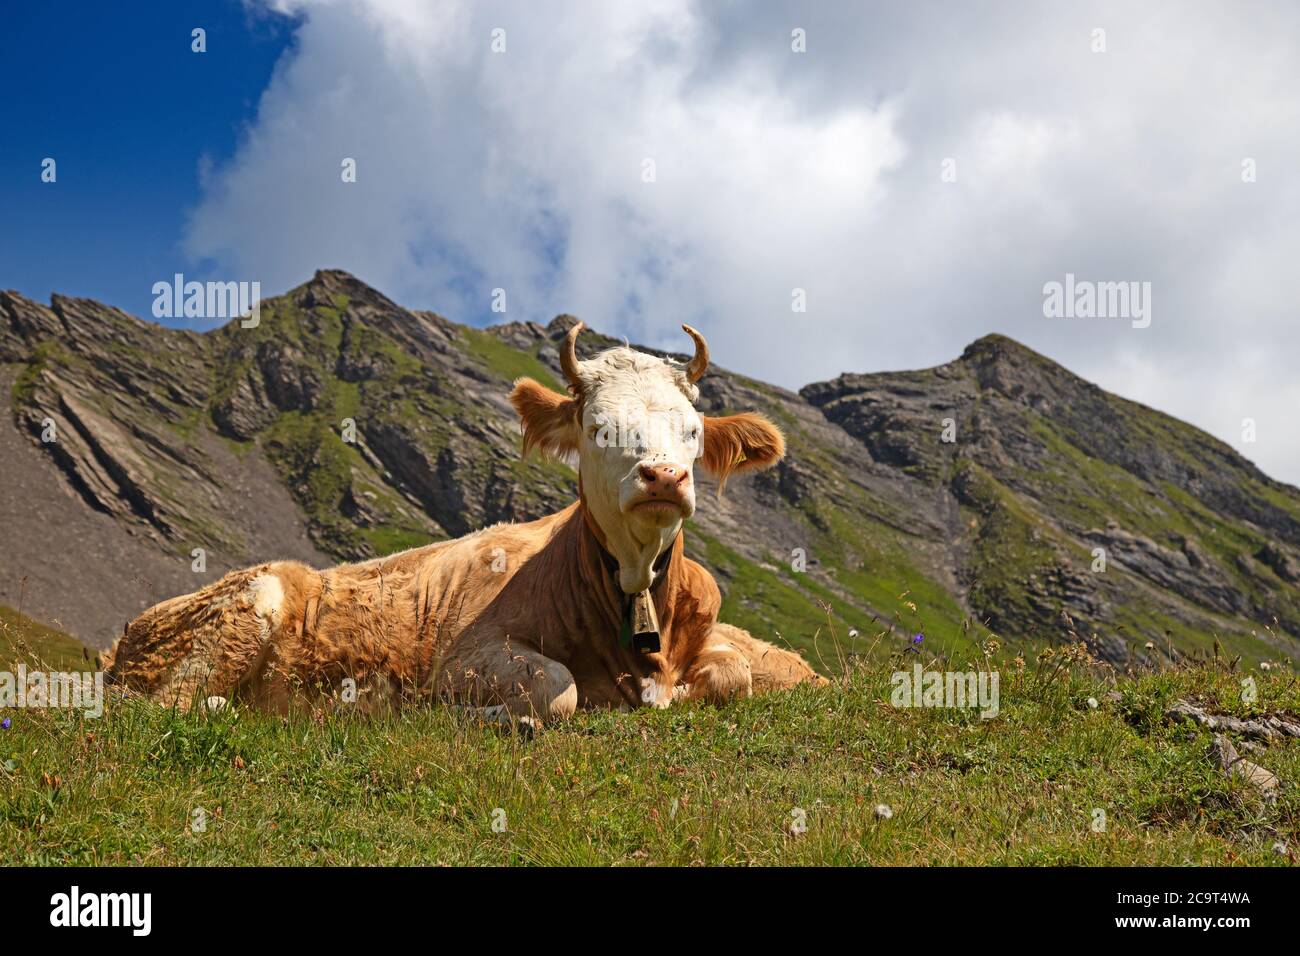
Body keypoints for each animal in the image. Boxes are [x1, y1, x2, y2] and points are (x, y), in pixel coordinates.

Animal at [105, 322, 825, 729]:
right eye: (597, 429)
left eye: (693, 431)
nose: (664, 477)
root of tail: (127, 634)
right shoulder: (465, 657)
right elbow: (558, 690)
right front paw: (484, 717)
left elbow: (736, 674)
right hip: (253, 600)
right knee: (166, 705)